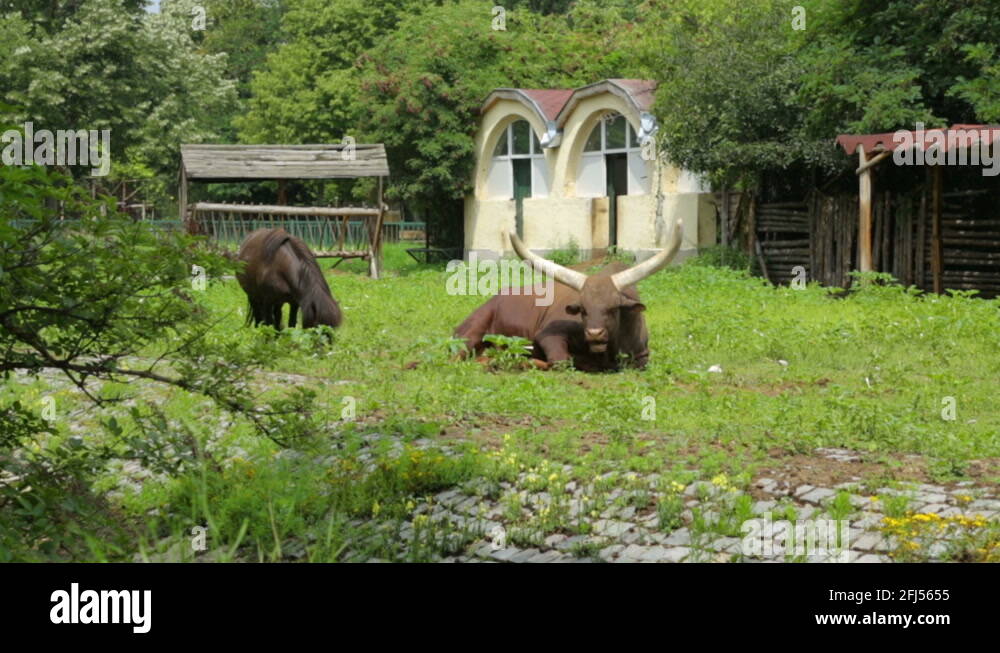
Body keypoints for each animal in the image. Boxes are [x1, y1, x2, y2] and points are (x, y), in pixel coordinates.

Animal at [454, 219, 683, 371]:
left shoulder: (642, 355)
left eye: (613, 308)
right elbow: (561, 360)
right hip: (469, 335)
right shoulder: (548, 335)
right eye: (583, 310)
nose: (594, 333)